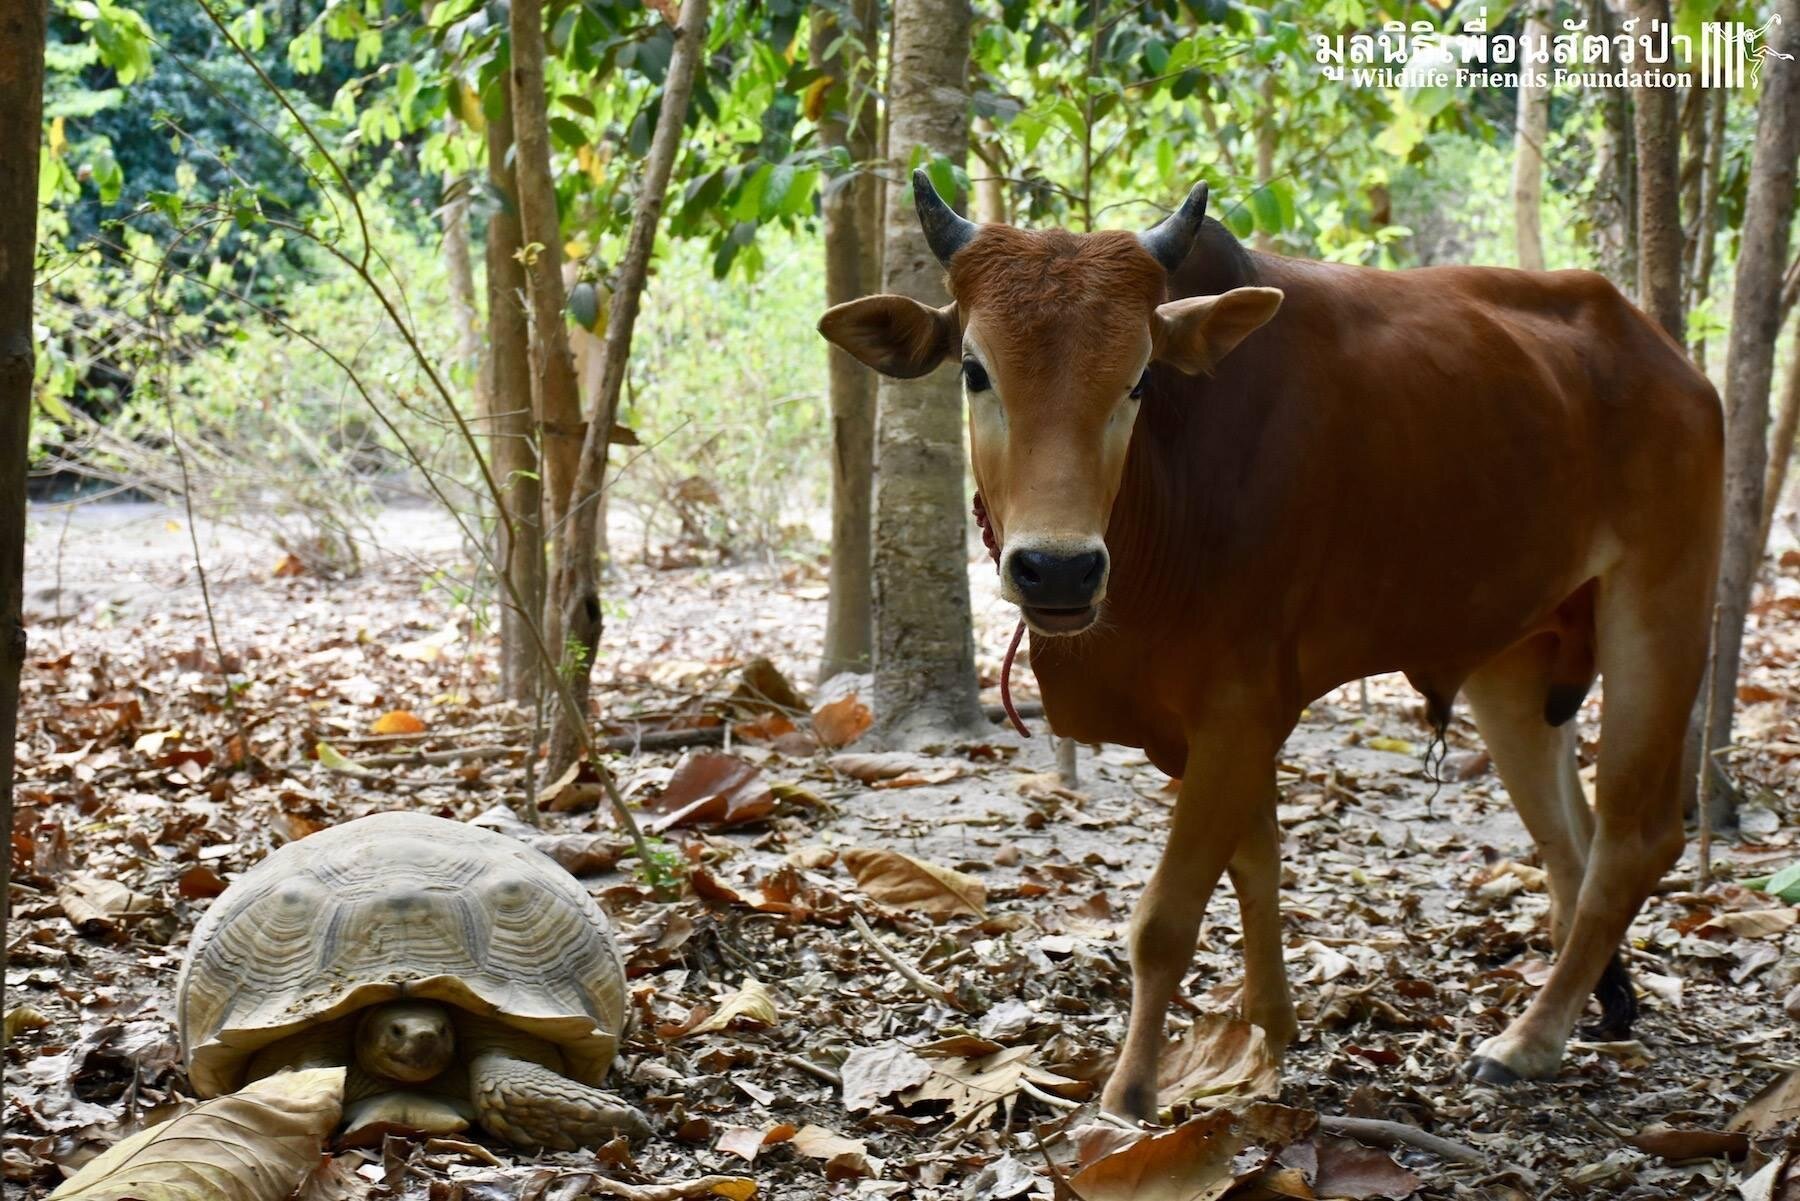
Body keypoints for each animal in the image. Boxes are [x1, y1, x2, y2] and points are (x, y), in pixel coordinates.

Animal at [818, 170, 1723, 1120]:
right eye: (974, 370)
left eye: (1139, 380)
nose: (1057, 570)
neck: (1164, 497)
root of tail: (1669, 359)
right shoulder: (1222, 726)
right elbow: (1256, 863)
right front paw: (1267, 1030)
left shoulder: (1241, 707)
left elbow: (1167, 917)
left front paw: (1131, 1093)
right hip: (1513, 663)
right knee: (1566, 842)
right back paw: (1595, 999)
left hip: (1661, 605)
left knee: (1635, 839)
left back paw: (1529, 1039)